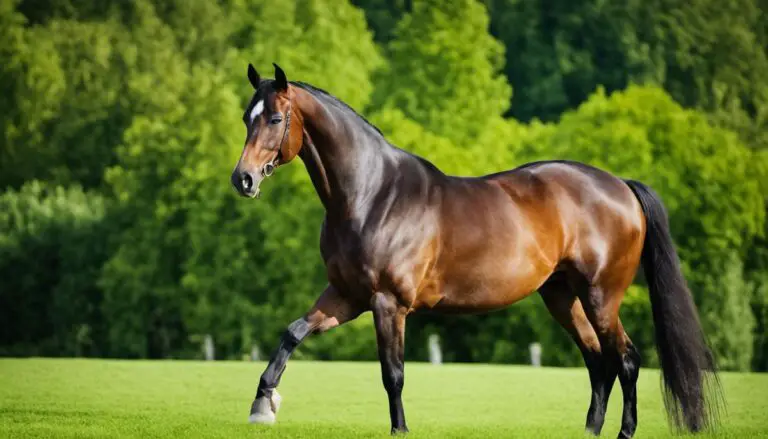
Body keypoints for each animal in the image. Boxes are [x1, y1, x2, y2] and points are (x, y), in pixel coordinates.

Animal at [230, 63, 722, 437]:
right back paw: (591, 431)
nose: (243, 179)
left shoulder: (388, 303)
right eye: (246, 117)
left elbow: (393, 374)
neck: (372, 195)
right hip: (563, 297)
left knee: (626, 359)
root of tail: (620, 186)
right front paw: (262, 404)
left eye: (275, 119)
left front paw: (399, 429)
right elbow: (293, 332)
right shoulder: (346, 296)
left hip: (602, 297)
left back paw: (624, 431)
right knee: (598, 362)